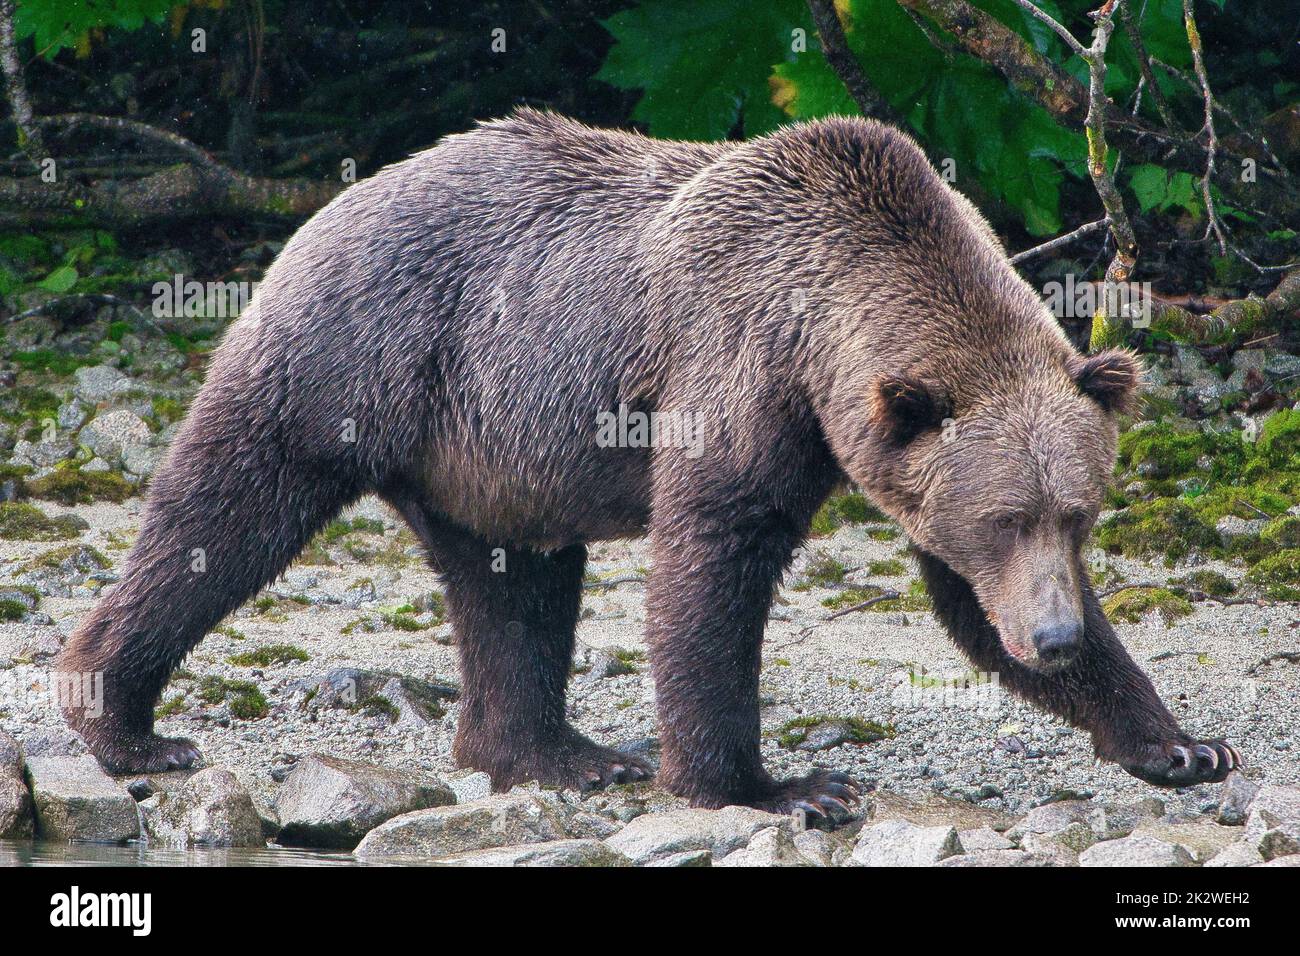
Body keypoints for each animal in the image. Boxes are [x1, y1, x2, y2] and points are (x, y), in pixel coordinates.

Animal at [56, 109, 1240, 815]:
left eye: (1076, 513)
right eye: (1006, 516)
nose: (1052, 635)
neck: (828, 315)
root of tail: (326, 203)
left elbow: (964, 604)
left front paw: (1178, 742)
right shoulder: (739, 369)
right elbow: (712, 566)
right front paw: (773, 784)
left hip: (489, 451)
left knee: (517, 586)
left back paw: (555, 751)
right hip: (351, 360)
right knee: (226, 514)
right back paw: (124, 723)